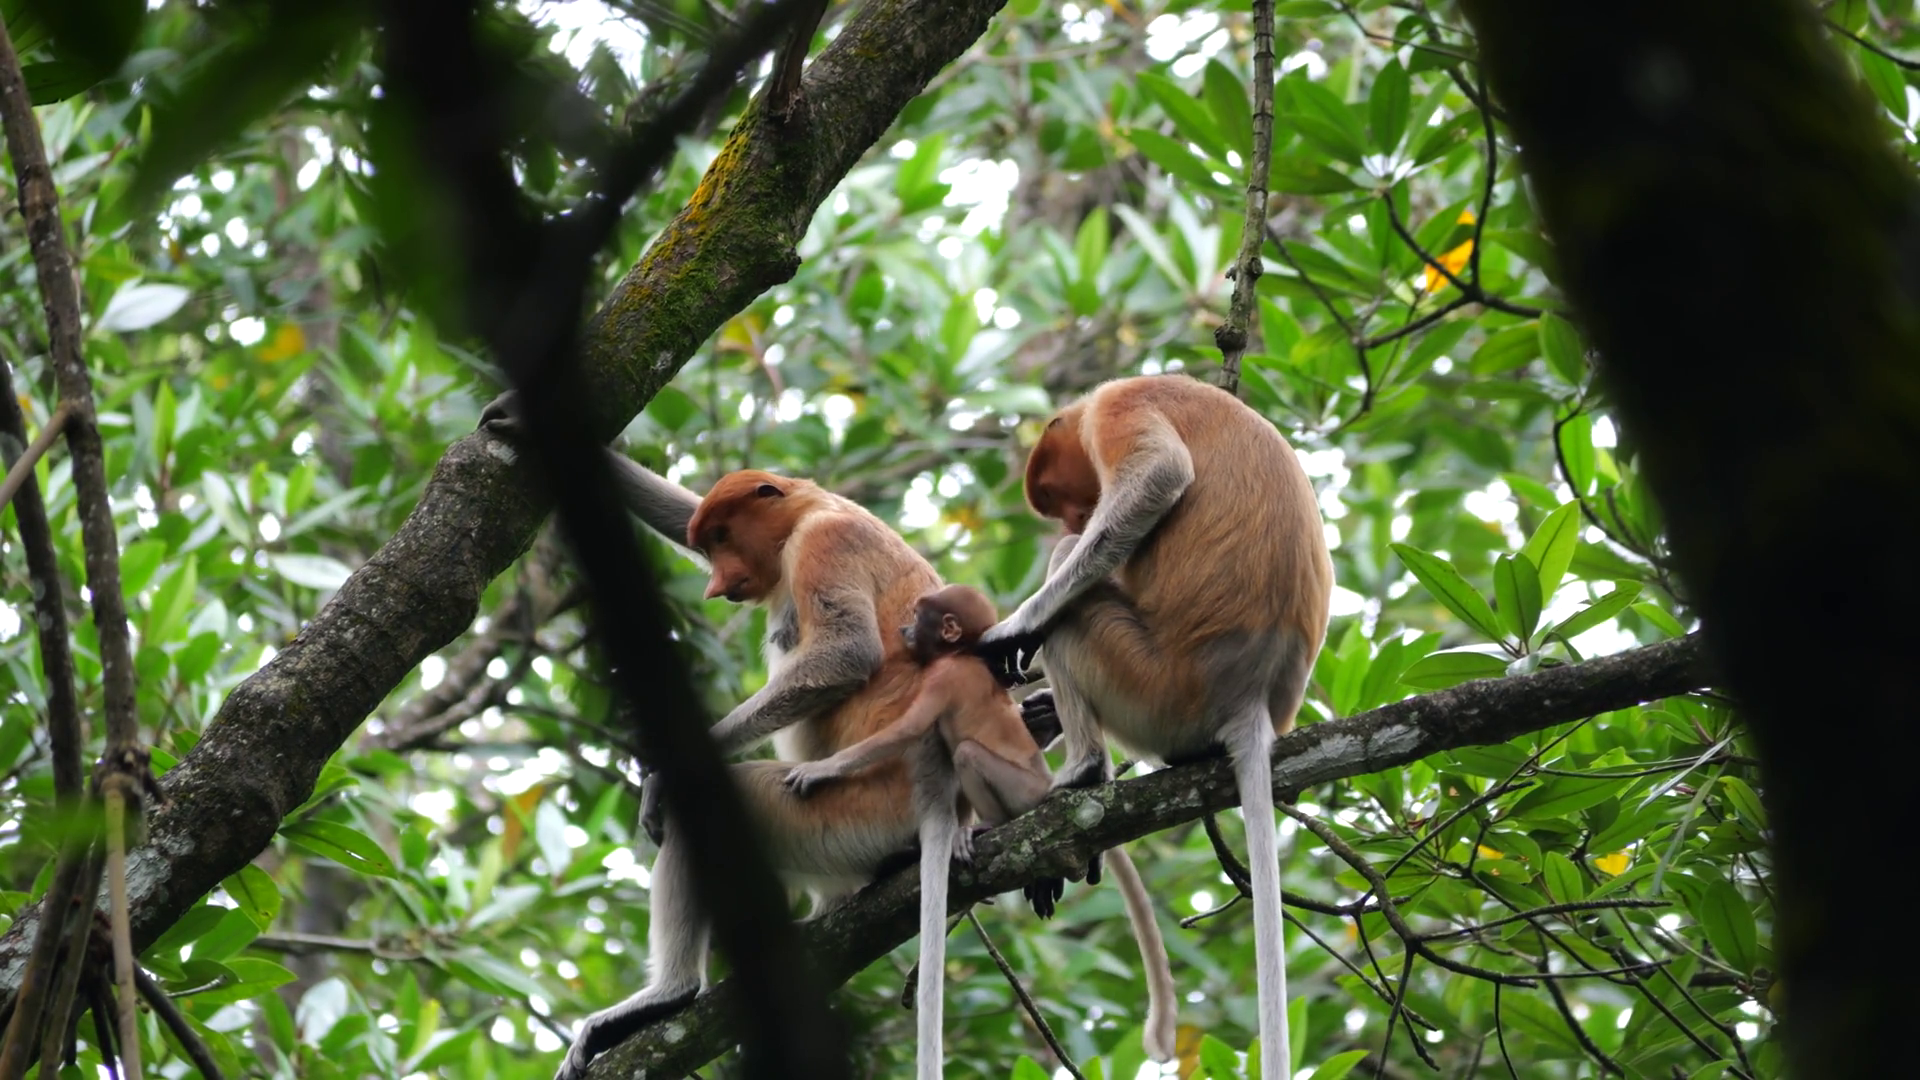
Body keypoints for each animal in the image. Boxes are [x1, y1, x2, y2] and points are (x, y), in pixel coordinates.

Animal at [780, 584, 1178, 1074]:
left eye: (921, 616)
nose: (905, 629)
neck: (960, 655)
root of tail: (1045, 783)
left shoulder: (941, 677)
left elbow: (907, 731)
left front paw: (819, 770)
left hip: (1021, 788)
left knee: (968, 753)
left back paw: (988, 827)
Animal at [974, 374, 1334, 1080]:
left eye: (1060, 496)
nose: (1072, 521)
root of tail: (1249, 698)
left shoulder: (1121, 408)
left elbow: (1159, 480)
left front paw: (1018, 628)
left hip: (1154, 685)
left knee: (1076, 603)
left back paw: (1082, 774)